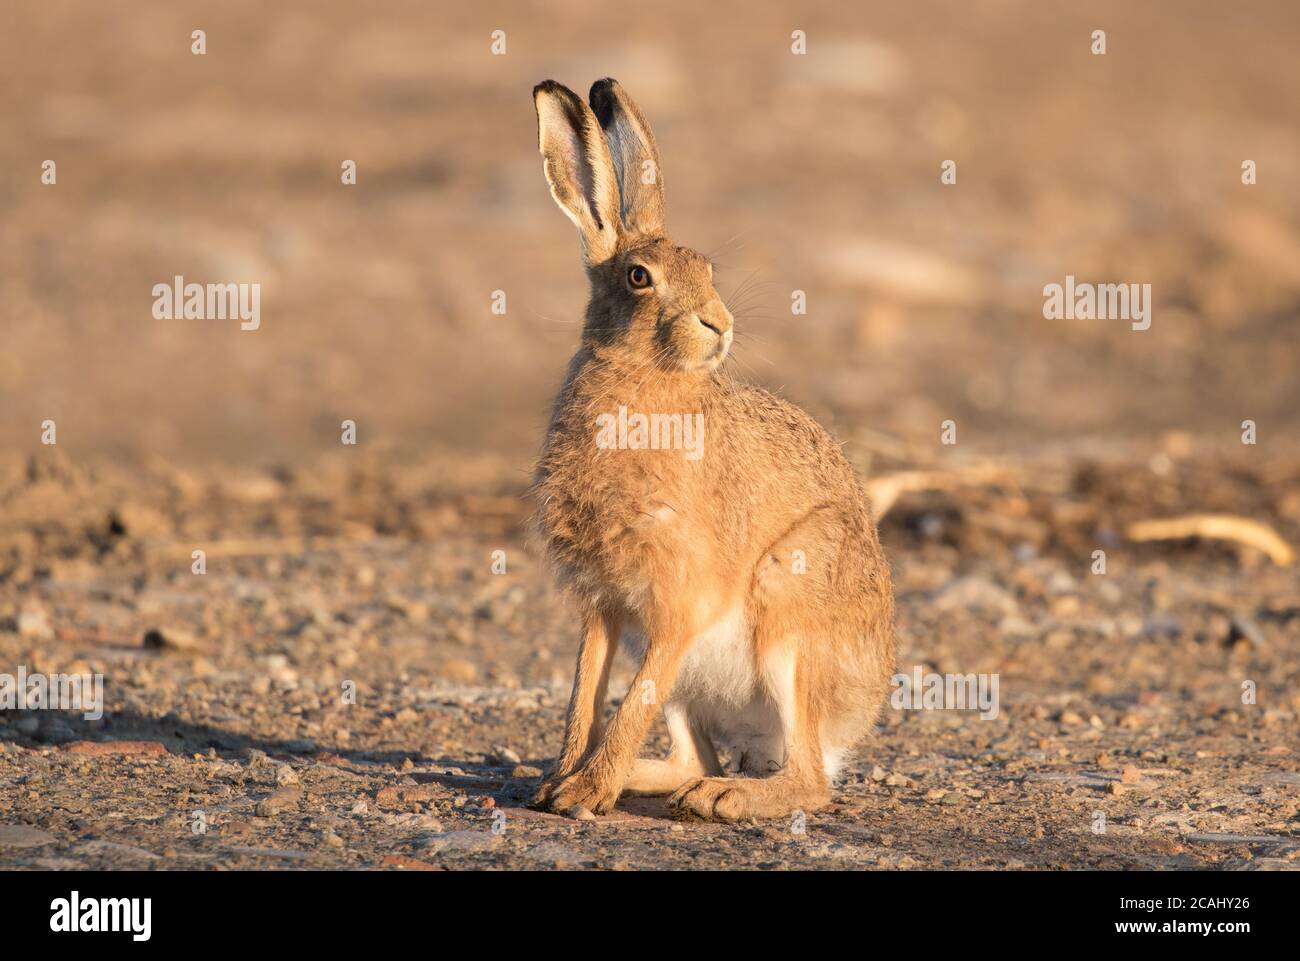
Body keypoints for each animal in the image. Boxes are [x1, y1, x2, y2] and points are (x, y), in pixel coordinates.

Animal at [529, 78, 895, 821]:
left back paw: (721, 797)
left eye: (707, 268)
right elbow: (584, 695)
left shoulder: (679, 601)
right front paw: (559, 782)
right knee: (694, 756)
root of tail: (857, 716)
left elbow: (627, 701)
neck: (648, 378)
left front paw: (585, 791)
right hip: (693, 679)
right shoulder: (604, 605)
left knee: (808, 781)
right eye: (639, 277)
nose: (718, 324)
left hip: (791, 615)